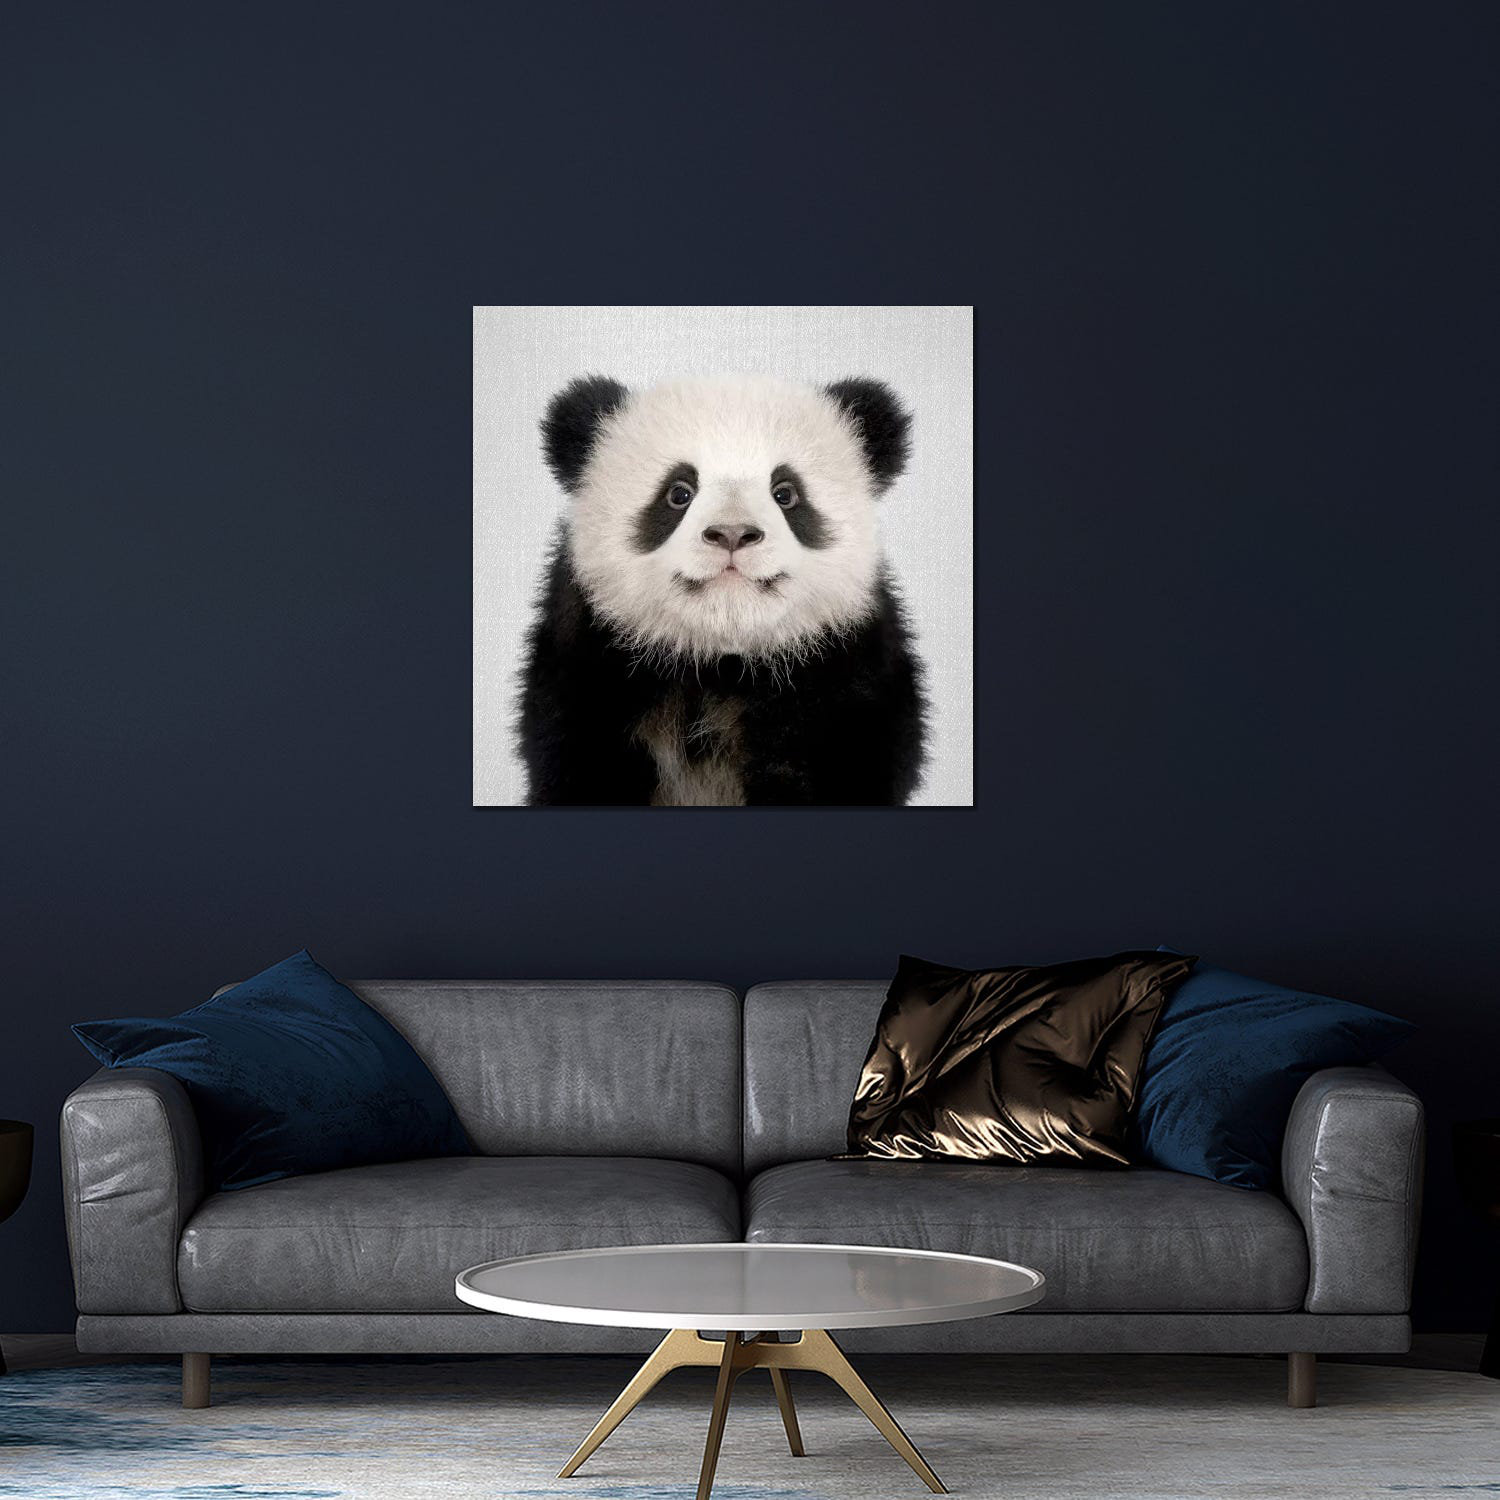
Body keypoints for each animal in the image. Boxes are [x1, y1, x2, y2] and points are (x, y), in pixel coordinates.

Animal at [516, 374, 927, 806]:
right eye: (678, 492)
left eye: (786, 494)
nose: (732, 533)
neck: (720, 662)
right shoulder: (590, 667)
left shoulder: (845, 672)